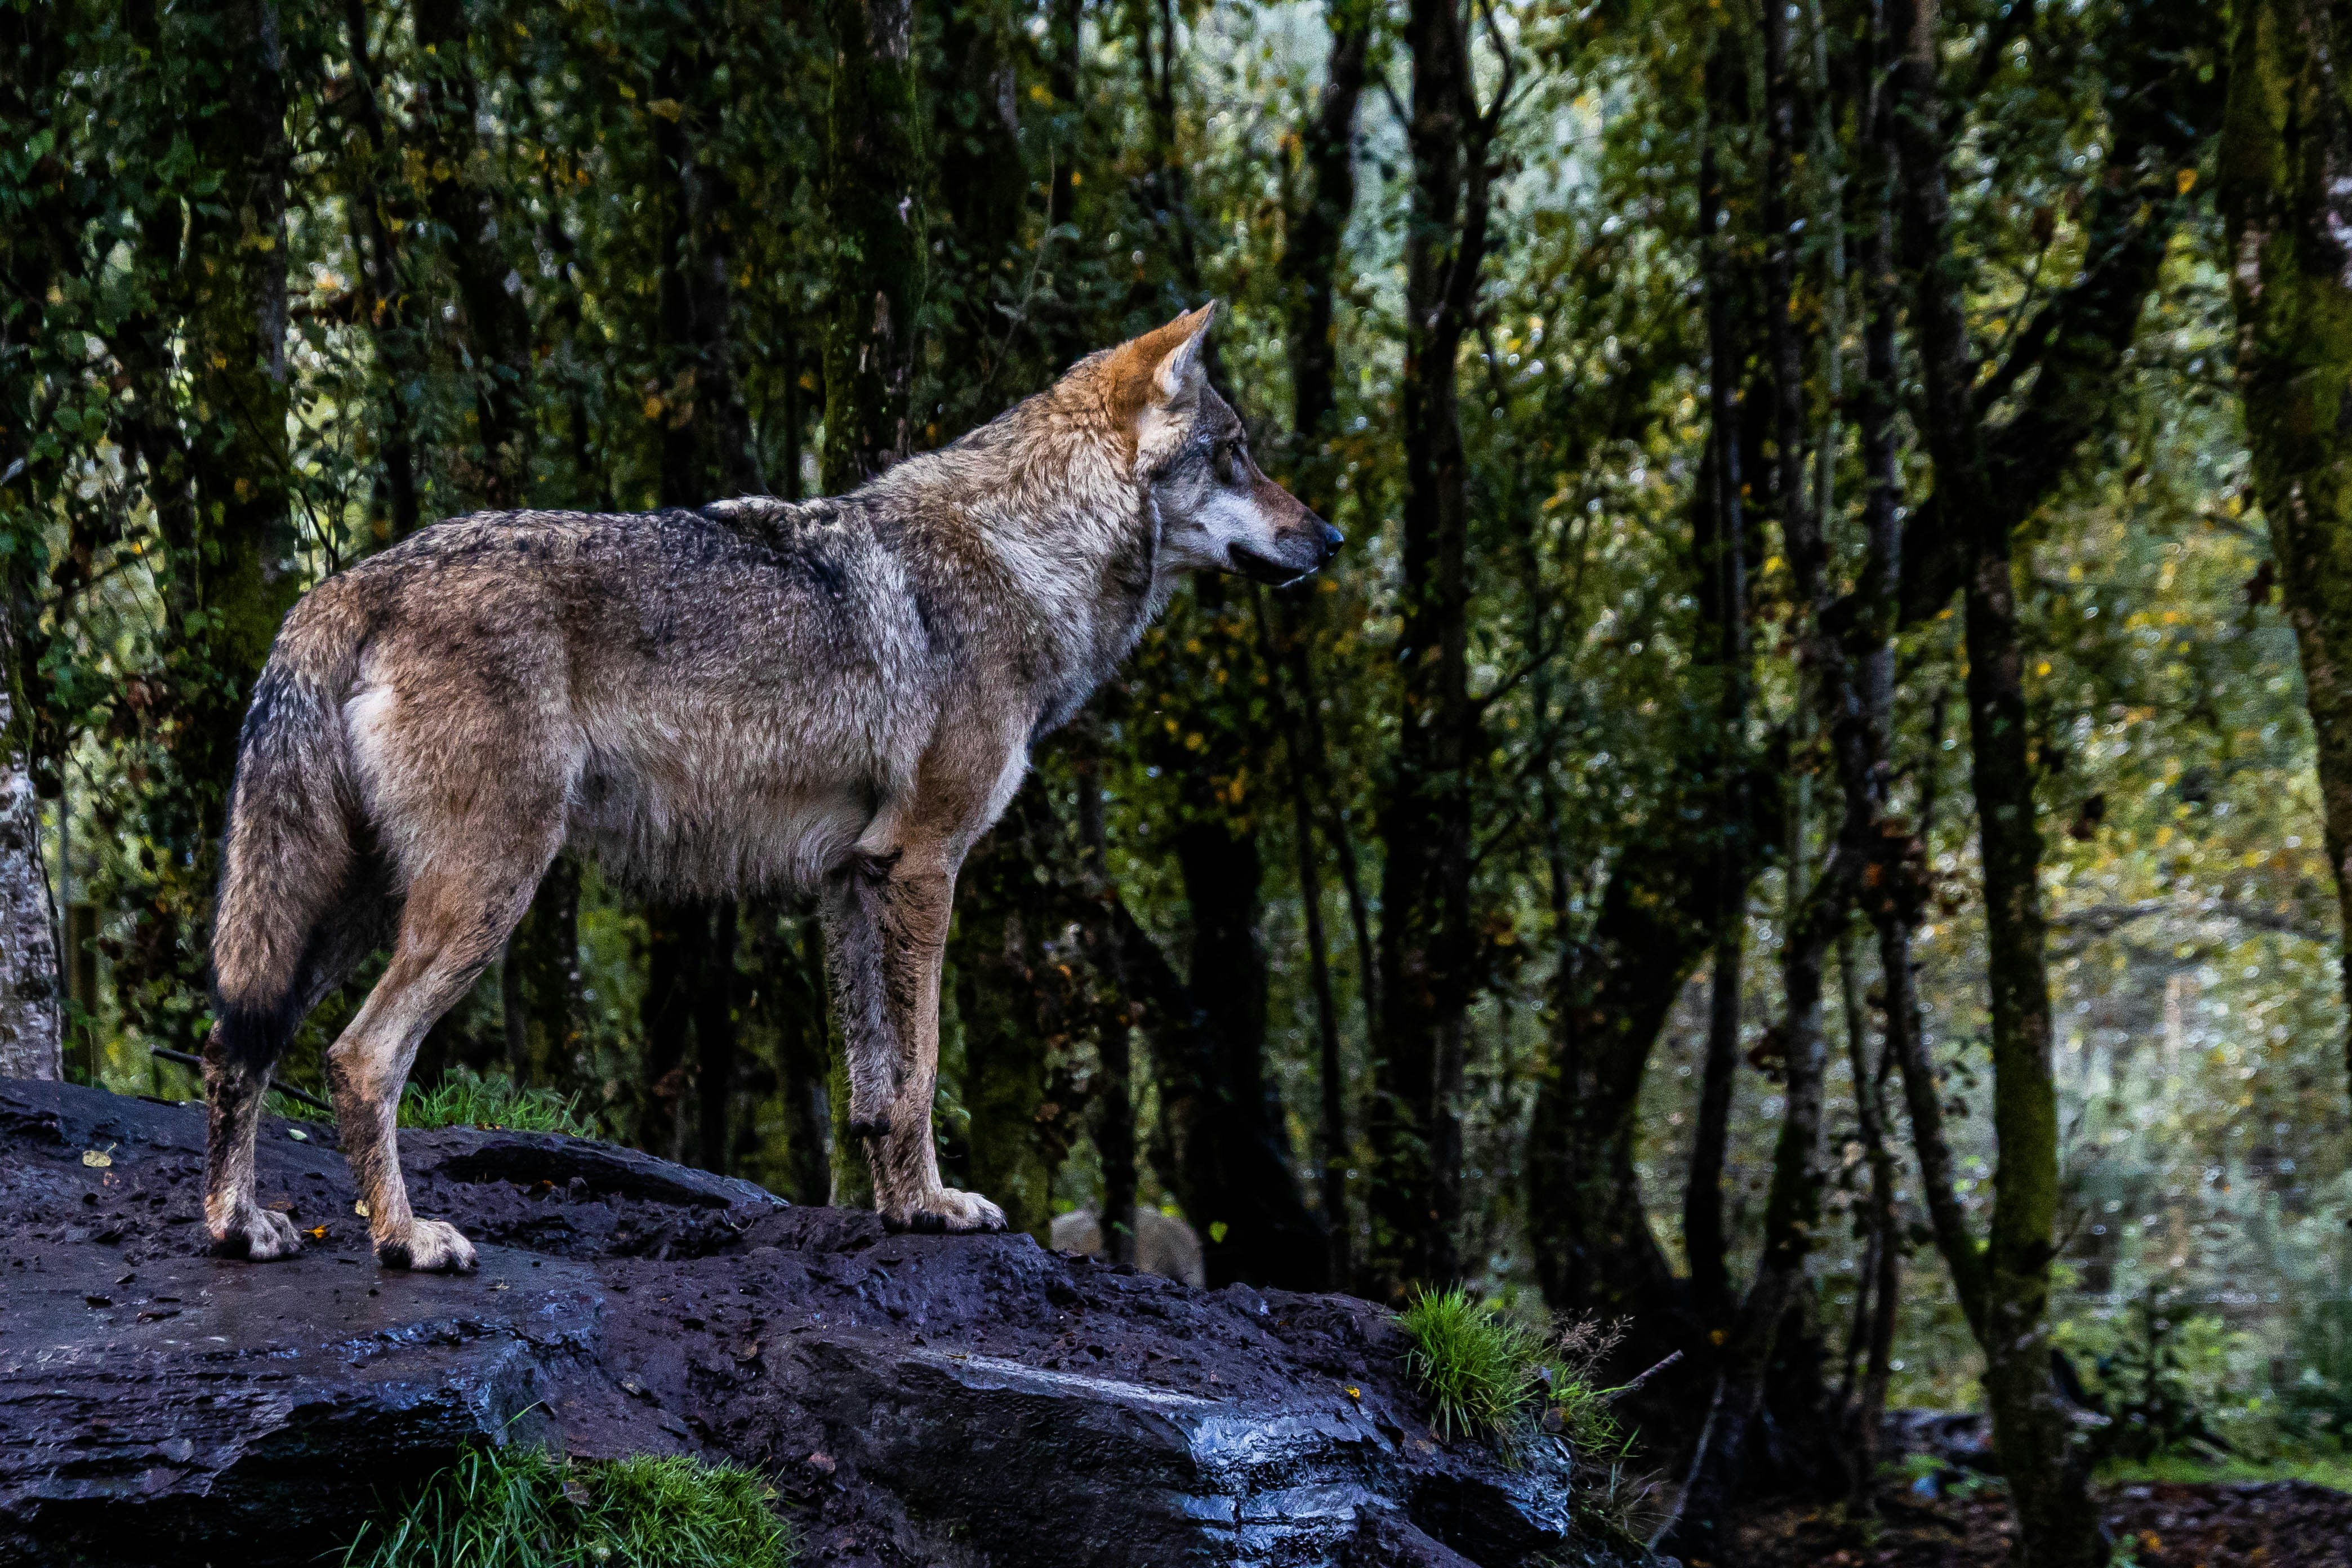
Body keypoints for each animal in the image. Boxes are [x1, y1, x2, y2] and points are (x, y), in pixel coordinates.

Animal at [199, 304, 1339, 1270]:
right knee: (360, 1056)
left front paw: (905, 1209)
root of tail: (351, 581)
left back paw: (240, 1225)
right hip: (482, 892)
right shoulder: (925, 864)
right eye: (1237, 453)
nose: (1328, 540)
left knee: (235, 1043)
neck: (1024, 554)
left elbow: (874, 1087)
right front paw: (939, 1205)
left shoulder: (854, 876)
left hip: (347, 905)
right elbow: (924, 1071)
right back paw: (405, 1239)